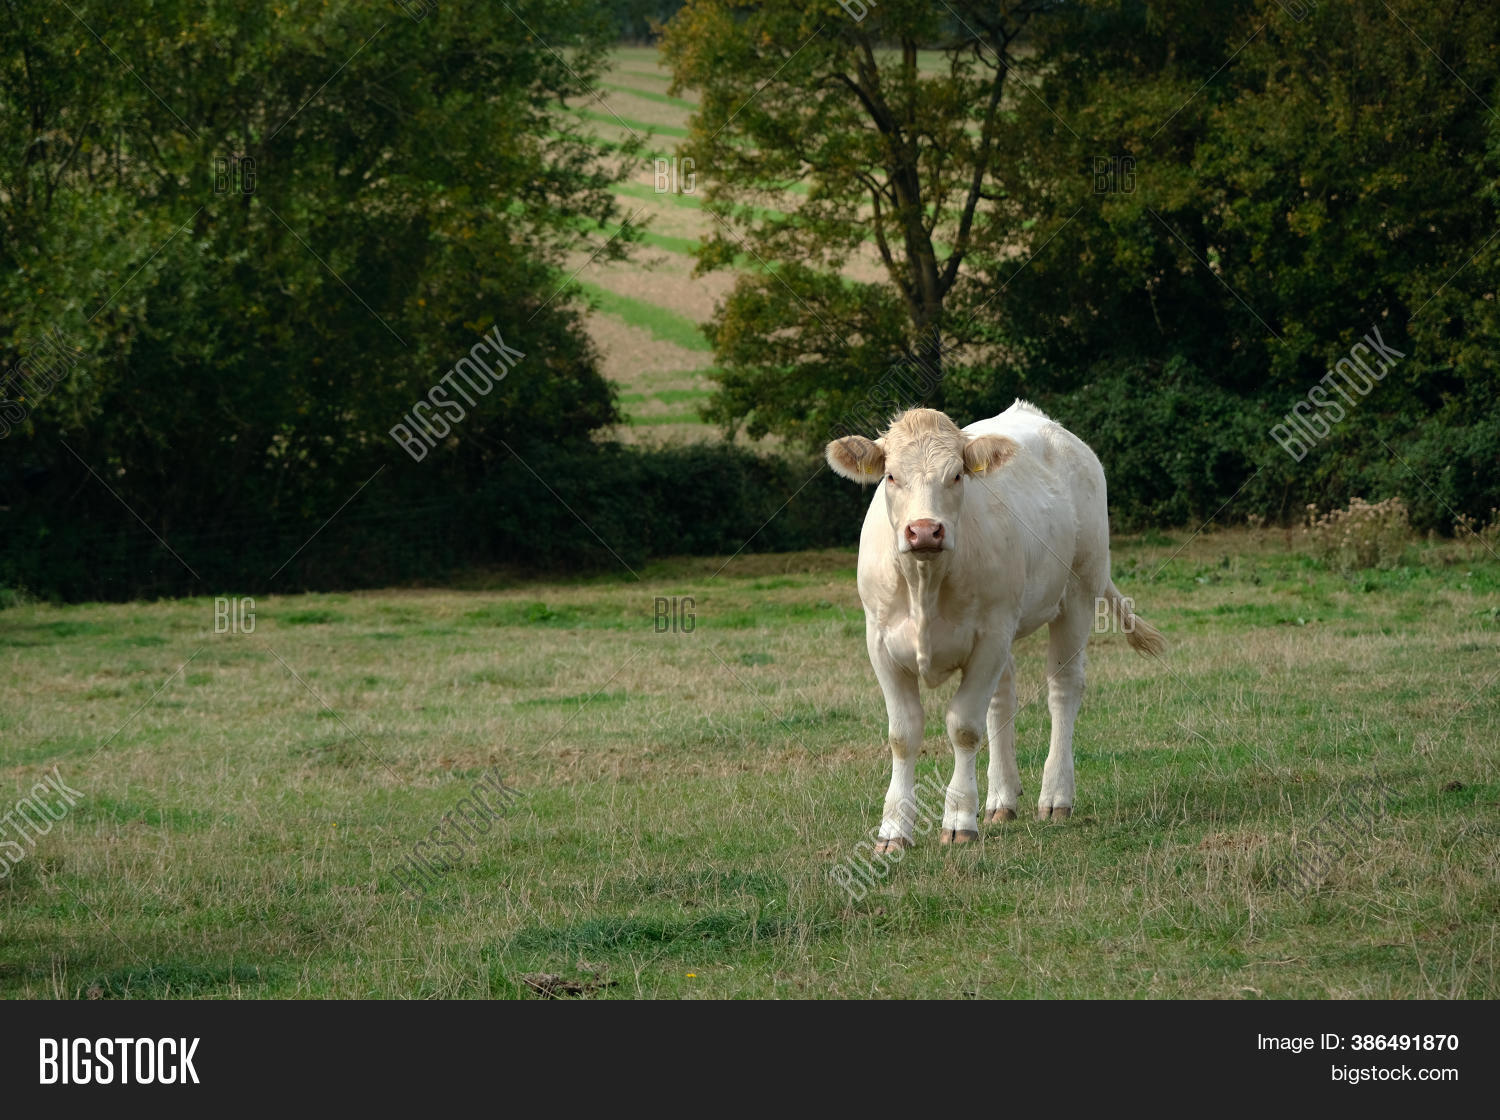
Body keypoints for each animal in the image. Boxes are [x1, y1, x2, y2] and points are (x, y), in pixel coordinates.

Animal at [825, 401, 1164, 851]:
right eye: (891, 476)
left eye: (956, 475)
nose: (925, 531)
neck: (925, 583)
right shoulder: (880, 643)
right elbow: (904, 734)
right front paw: (894, 829)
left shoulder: (989, 638)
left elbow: (964, 728)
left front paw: (958, 819)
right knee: (1002, 700)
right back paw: (1002, 798)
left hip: (1077, 594)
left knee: (1063, 689)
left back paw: (1056, 796)